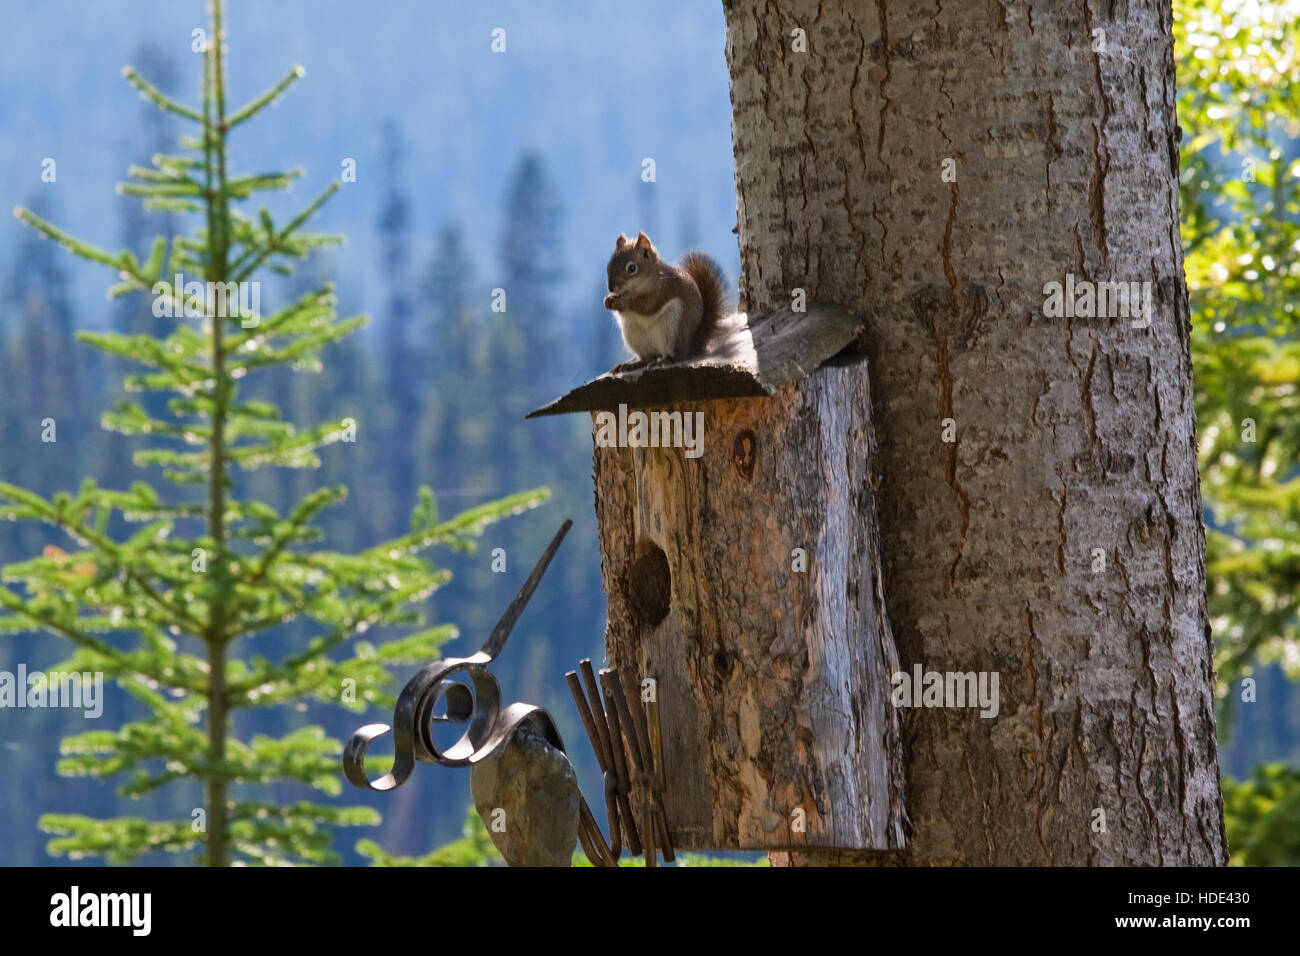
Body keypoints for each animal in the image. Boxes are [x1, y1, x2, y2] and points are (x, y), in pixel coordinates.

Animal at [603, 231, 730, 369]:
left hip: (673, 329)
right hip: (633, 334)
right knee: (648, 357)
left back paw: (665, 360)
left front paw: (622, 301)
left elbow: (647, 305)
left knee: (676, 356)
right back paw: (634, 364)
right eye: (609, 265)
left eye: (632, 268)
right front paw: (609, 300)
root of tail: (690, 346)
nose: (611, 288)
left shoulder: (663, 289)